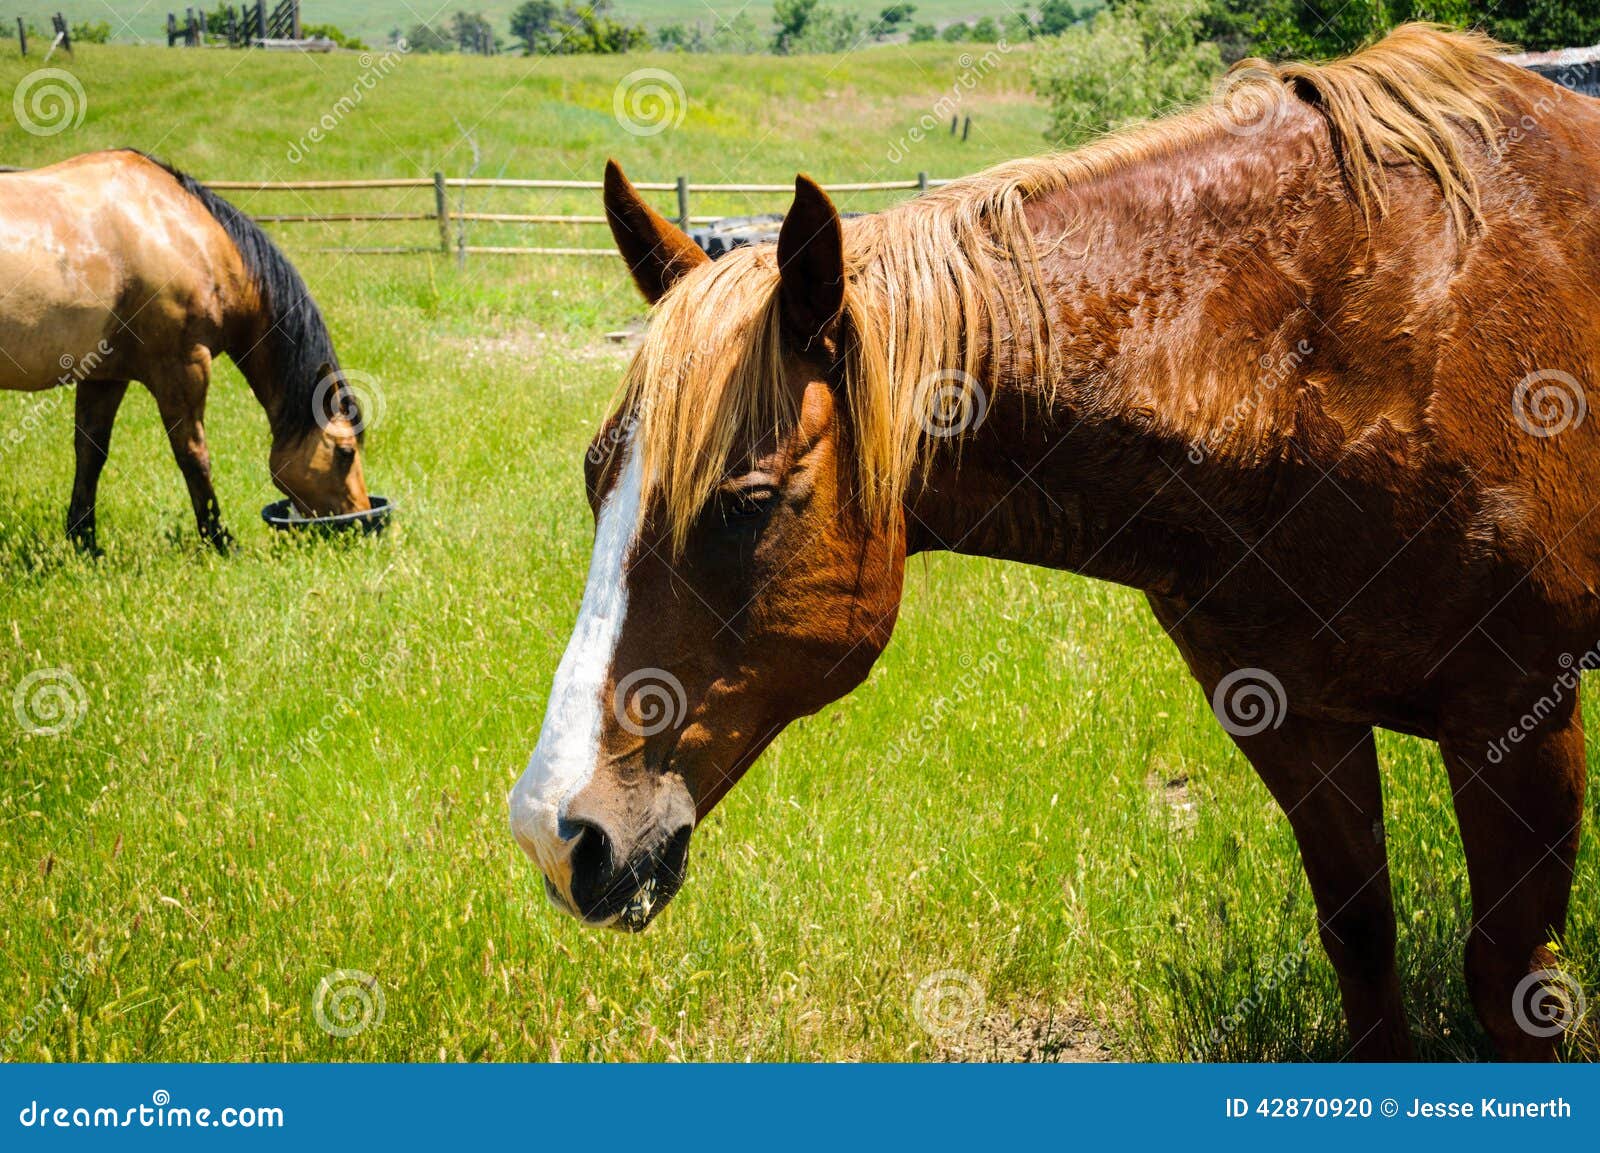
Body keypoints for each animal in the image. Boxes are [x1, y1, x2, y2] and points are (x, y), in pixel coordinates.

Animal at [0, 149, 370, 551]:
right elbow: (193, 455)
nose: (362, 520)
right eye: (346, 452)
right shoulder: (184, 366)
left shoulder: (105, 376)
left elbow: (90, 453)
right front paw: (220, 540)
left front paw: (84, 541)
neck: (176, 228)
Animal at [511, 25, 1600, 1060]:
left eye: (745, 500)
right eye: (594, 481)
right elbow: (1361, 942)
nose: (556, 832)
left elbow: (1513, 985)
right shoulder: (1296, 720)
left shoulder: (1515, 721)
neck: (1342, 356)